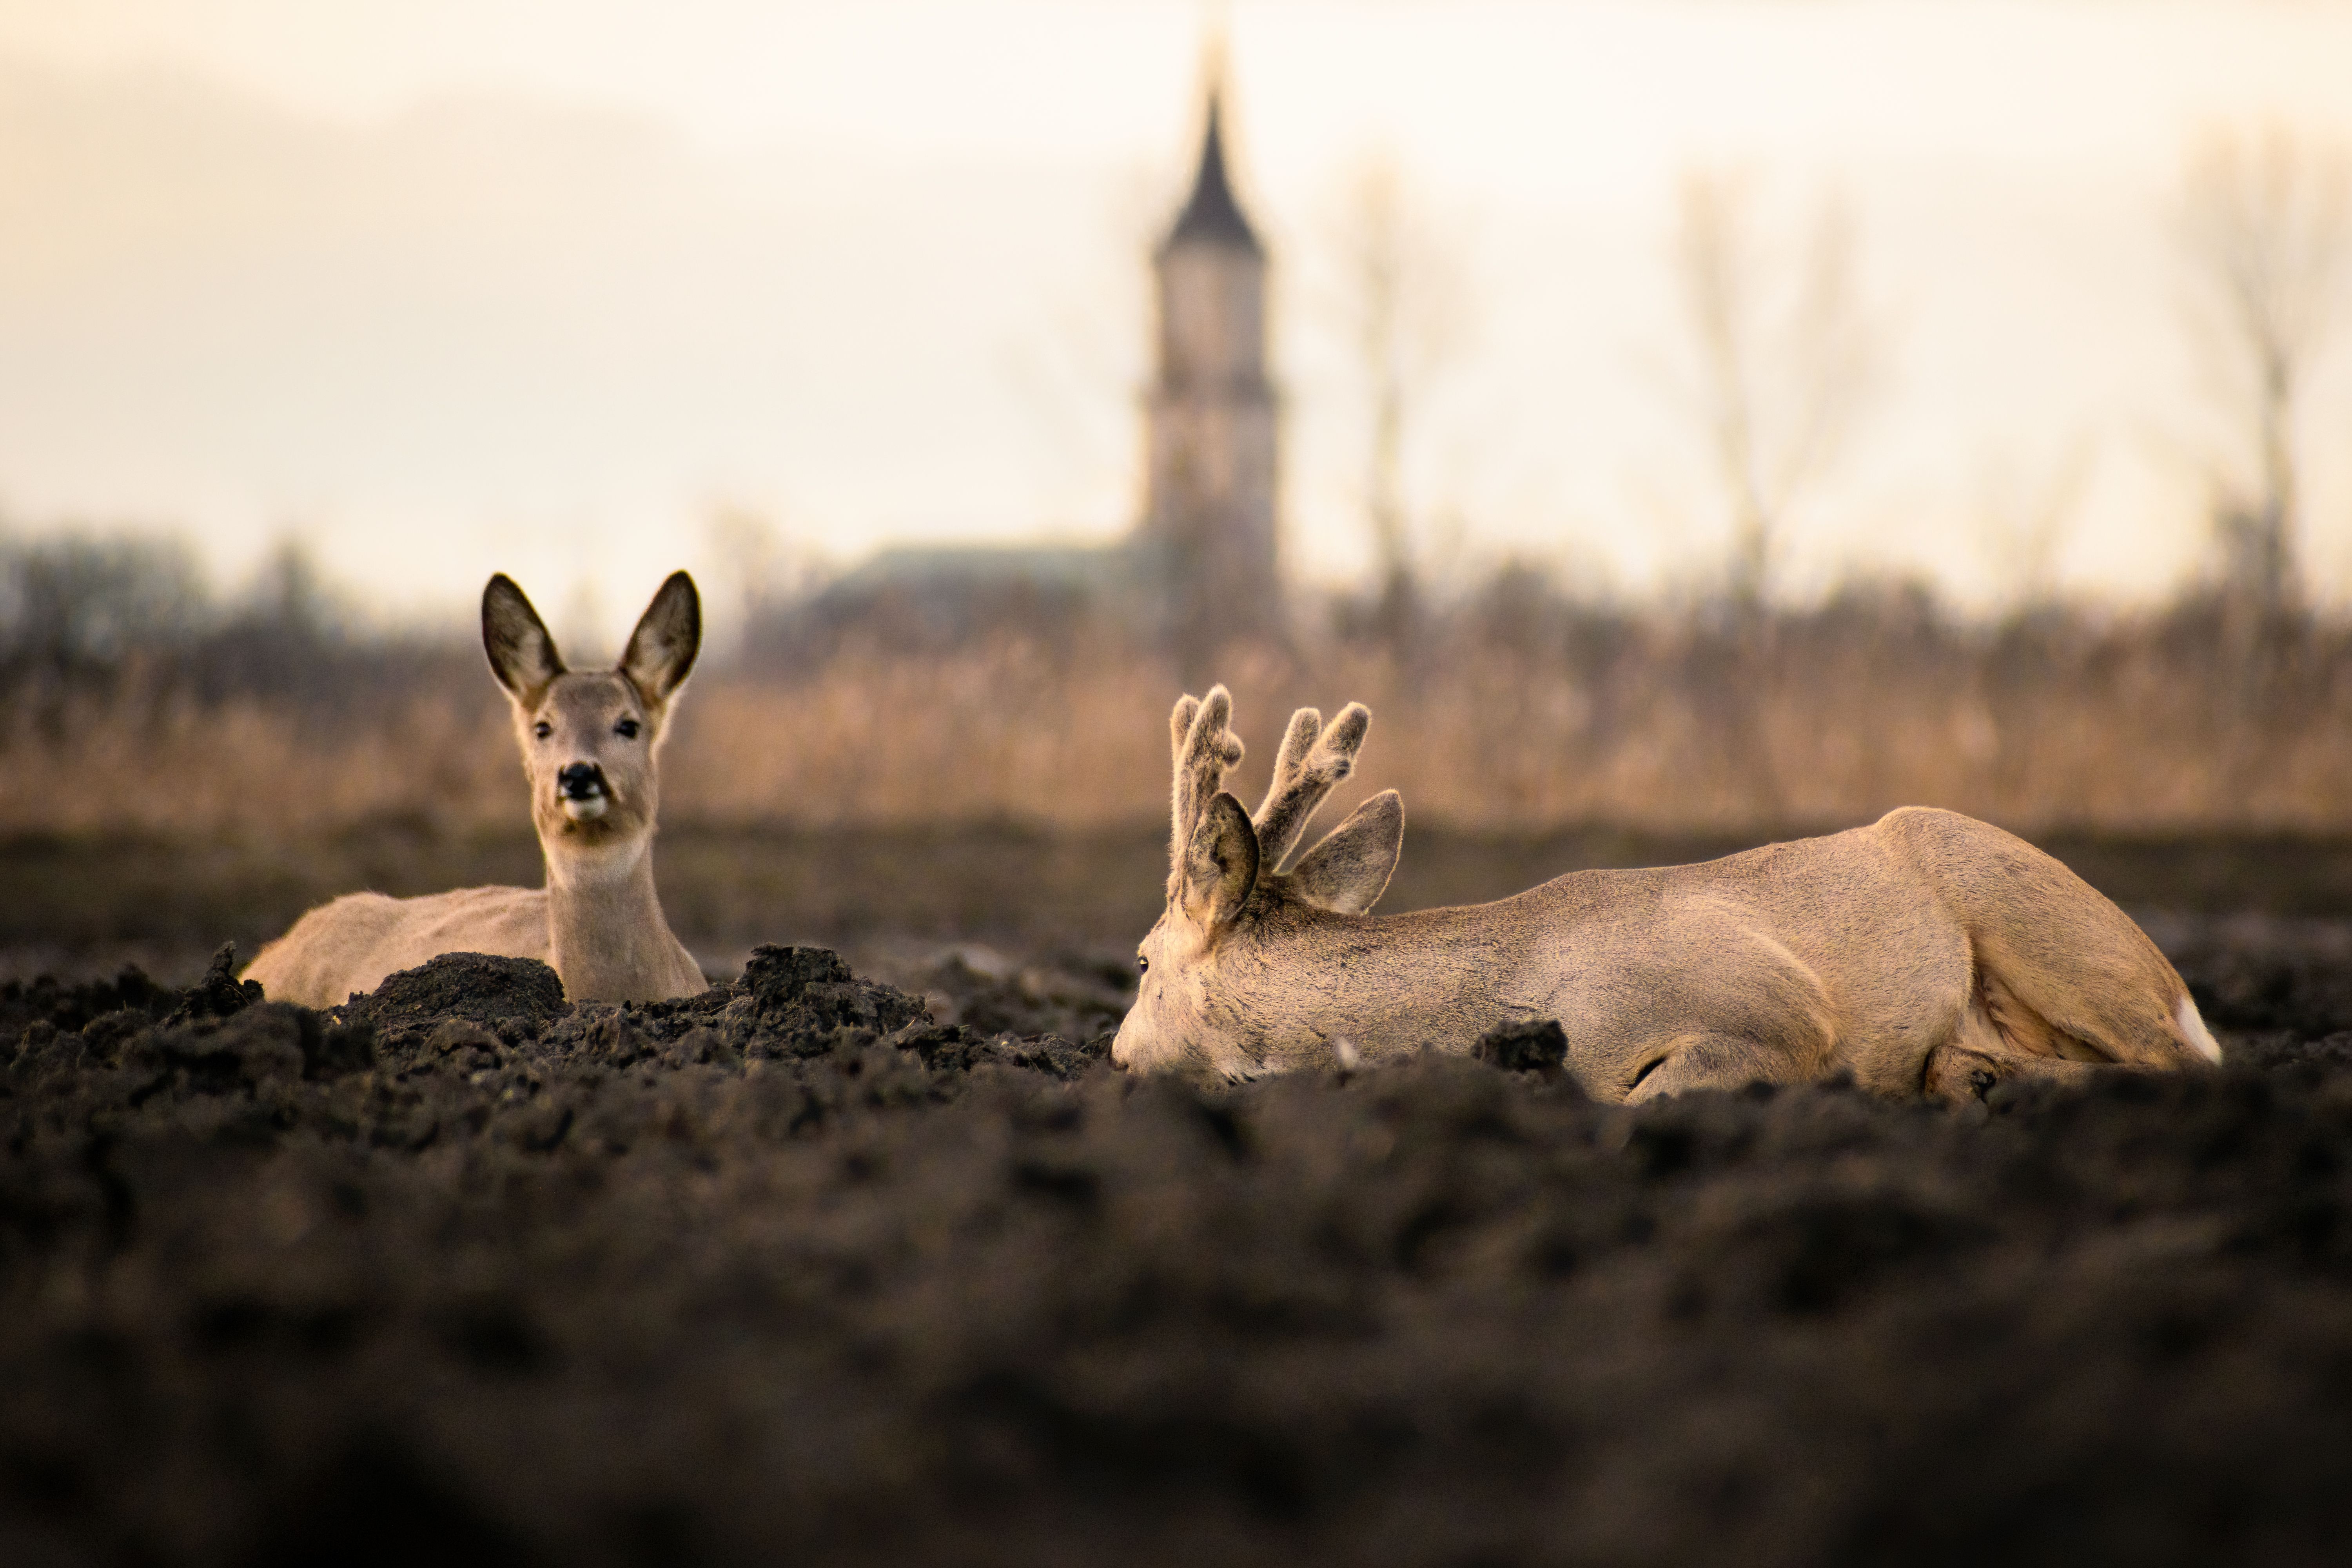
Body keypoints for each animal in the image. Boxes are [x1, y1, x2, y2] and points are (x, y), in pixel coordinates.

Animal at [1113, 686, 2223, 1102]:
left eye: (1138, 960)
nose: (1112, 1055)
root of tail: (2177, 980)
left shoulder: (1777, 1013)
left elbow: (1645, 1102)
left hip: (2035, 919)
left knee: (2187, 1063)